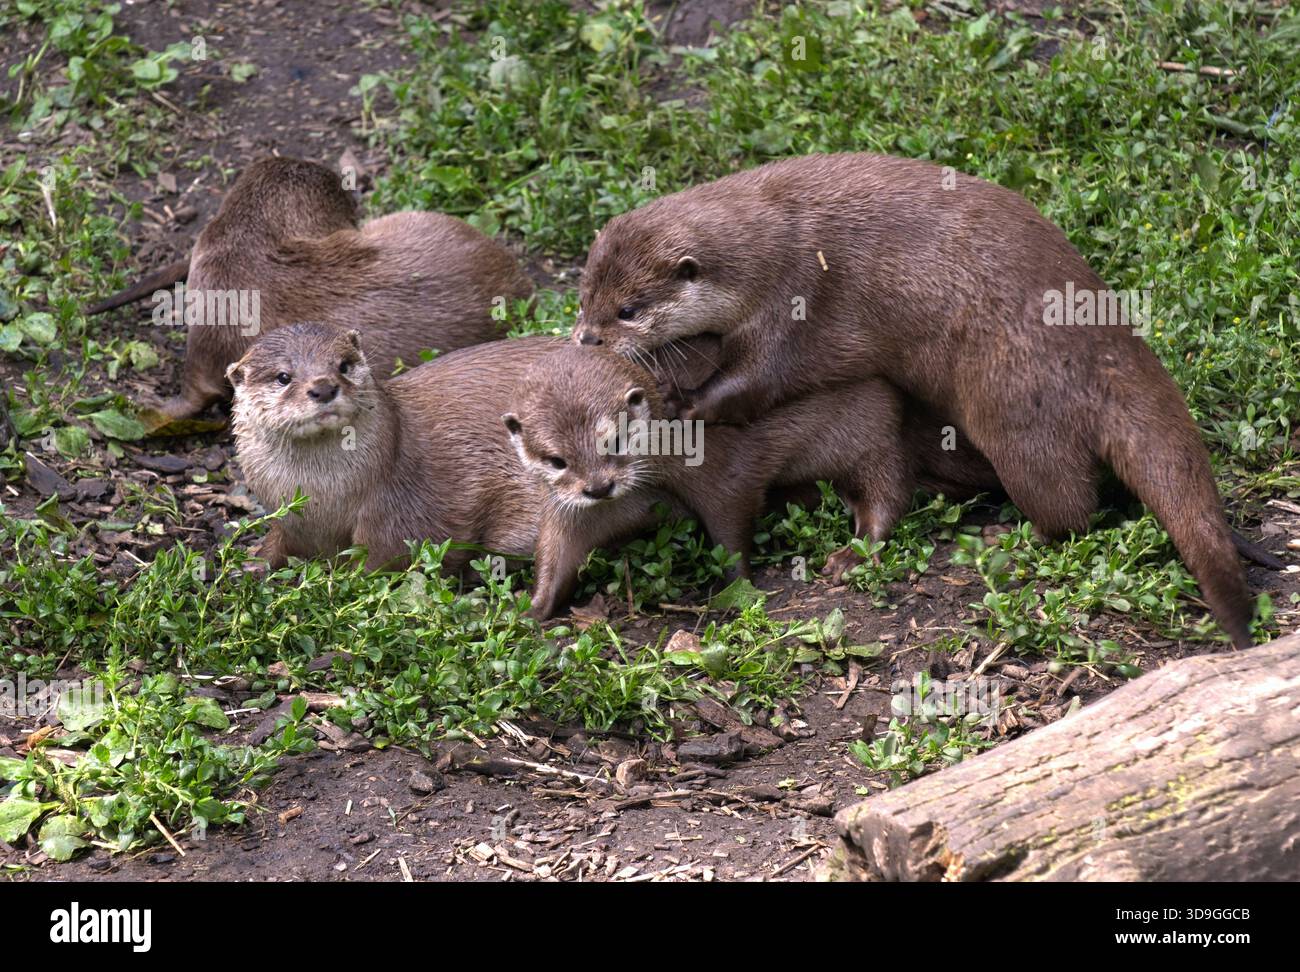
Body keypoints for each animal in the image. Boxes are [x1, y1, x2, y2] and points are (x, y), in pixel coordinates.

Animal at [576, 153, 1263, 648]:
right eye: (584, 295)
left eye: (628, 310)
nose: (585, 337)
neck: (770, 245)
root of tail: (1109, 348)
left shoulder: (792, 303)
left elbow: (755, 382)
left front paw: (684, 402)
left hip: (1013, 402)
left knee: (1067, 509)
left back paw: (993, 537)